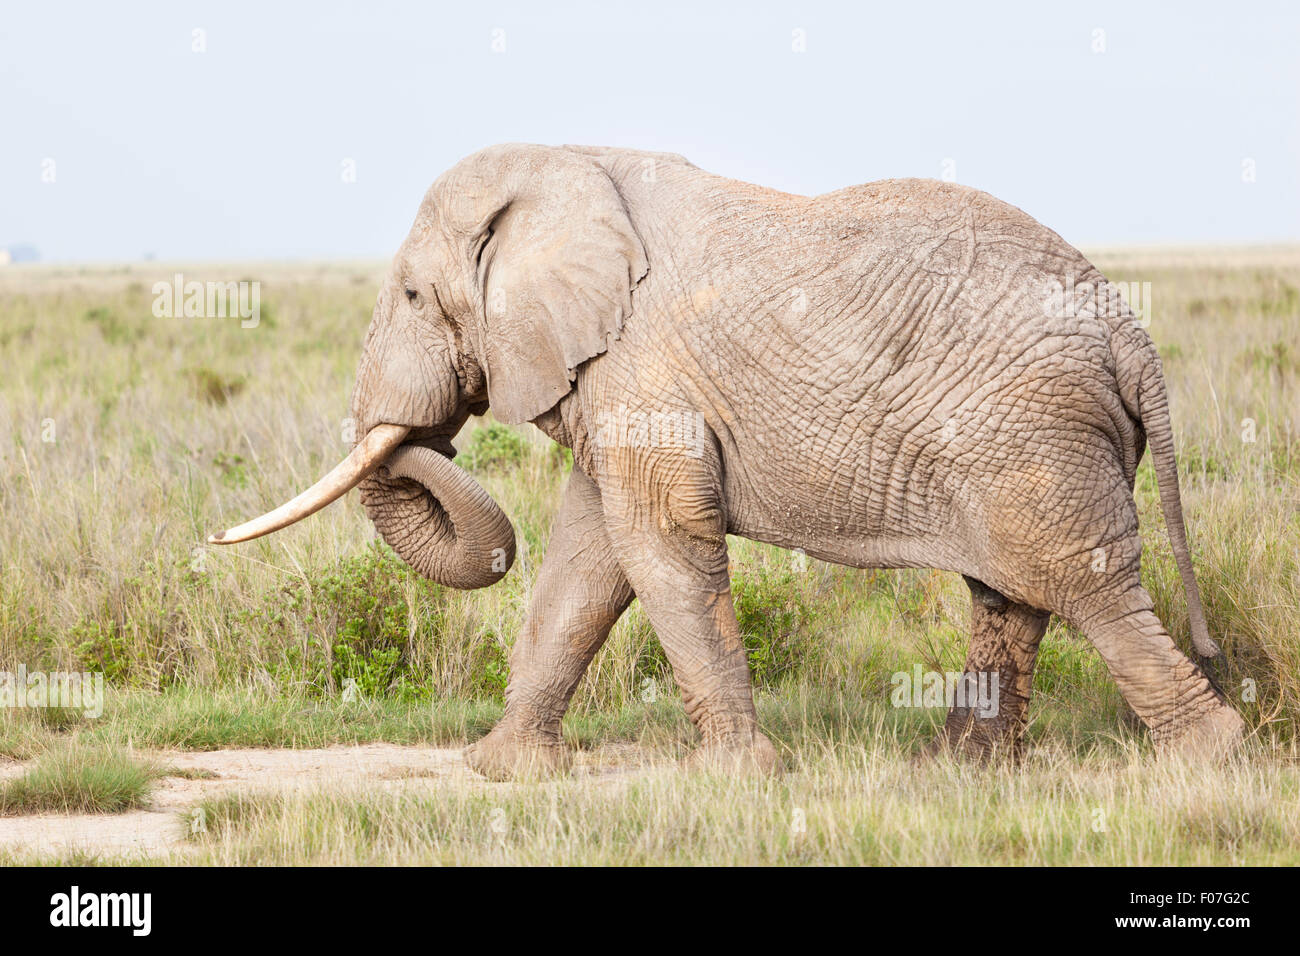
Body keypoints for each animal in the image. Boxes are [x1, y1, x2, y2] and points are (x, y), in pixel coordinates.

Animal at [210, 143, 1245, 779]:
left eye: (415, 296)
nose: (438, 435)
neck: (572, 166)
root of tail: (1133, 336)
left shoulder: (642, 366)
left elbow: (658, 541)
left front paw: (735, 776)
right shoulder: (620, 384)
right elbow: (589, 556)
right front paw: (501, 771)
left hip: (1035, 437)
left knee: (1085, 589)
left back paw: (1211, 757)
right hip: (1026, 442)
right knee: (1014, 594)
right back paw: (959, 769)